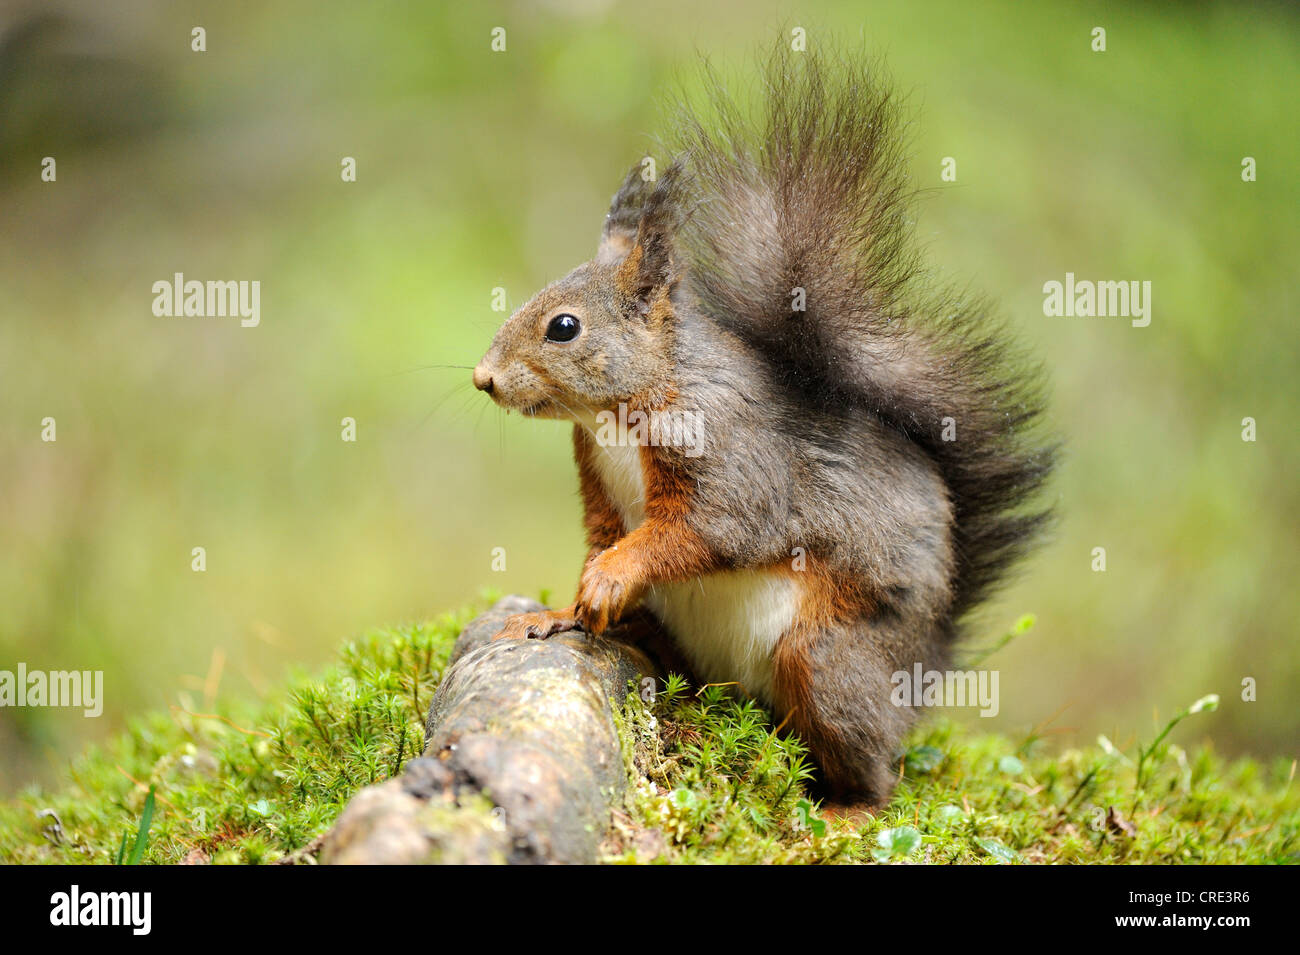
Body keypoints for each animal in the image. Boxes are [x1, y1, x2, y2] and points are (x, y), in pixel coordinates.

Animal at [472, 43, 1056, 810]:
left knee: (878, 768)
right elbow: (599, 544)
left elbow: (714, 530)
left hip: (827, 657)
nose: (482, 378)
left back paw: (846, 810)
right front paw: (558, 612)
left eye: (563, 327)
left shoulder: (729, 454)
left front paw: (609, 580)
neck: (625, 409)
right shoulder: (599, 485)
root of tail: (928, 666)